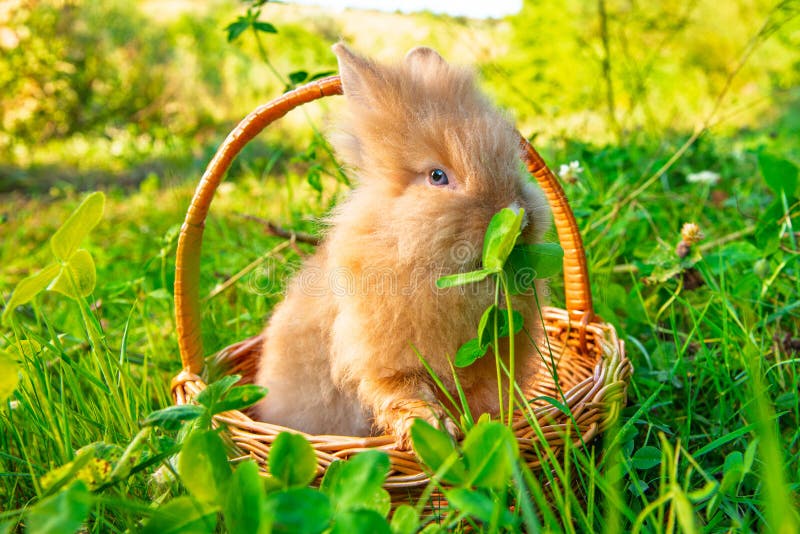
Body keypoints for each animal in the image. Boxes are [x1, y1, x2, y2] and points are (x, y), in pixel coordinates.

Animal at [253, 43, 551, 449]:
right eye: (437, 176)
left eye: (510, 162)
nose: (518, 215)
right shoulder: (386, 364)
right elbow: (405, 395)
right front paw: (434, 430)